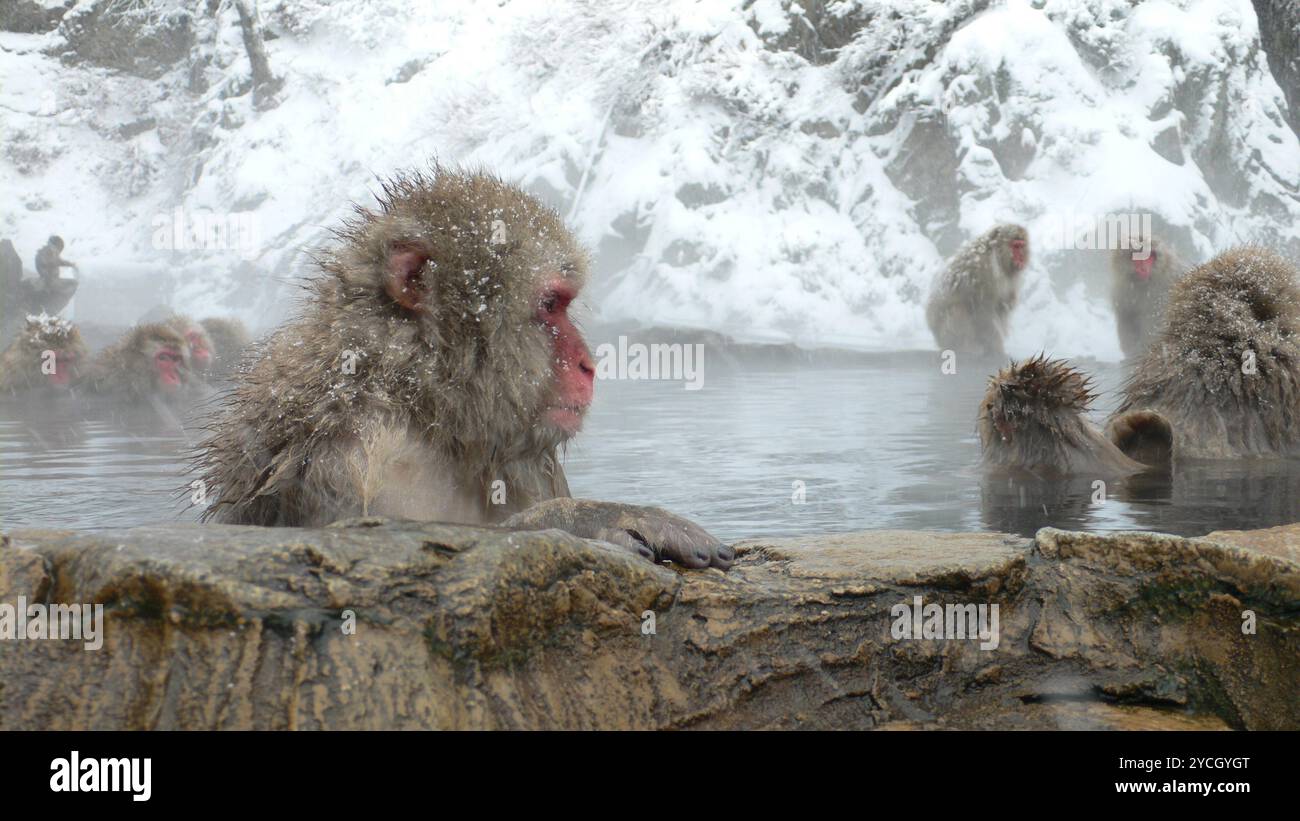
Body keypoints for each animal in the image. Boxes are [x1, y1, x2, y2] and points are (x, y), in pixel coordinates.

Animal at [195, 166, 733, 571]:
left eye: (563, 304)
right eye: (550, 305)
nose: (588, 364)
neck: (426, 406)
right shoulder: (353, 455)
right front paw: (594, 519)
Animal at [925, 224, 1029, 357]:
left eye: (1022, 246)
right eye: (1015, 246)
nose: (1021, 257)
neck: (997, 258)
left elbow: (1003, 305)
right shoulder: (983, 271)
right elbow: (983, 311)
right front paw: (996, 349)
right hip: (945, 336)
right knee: (958, 310)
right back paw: (966, 348)